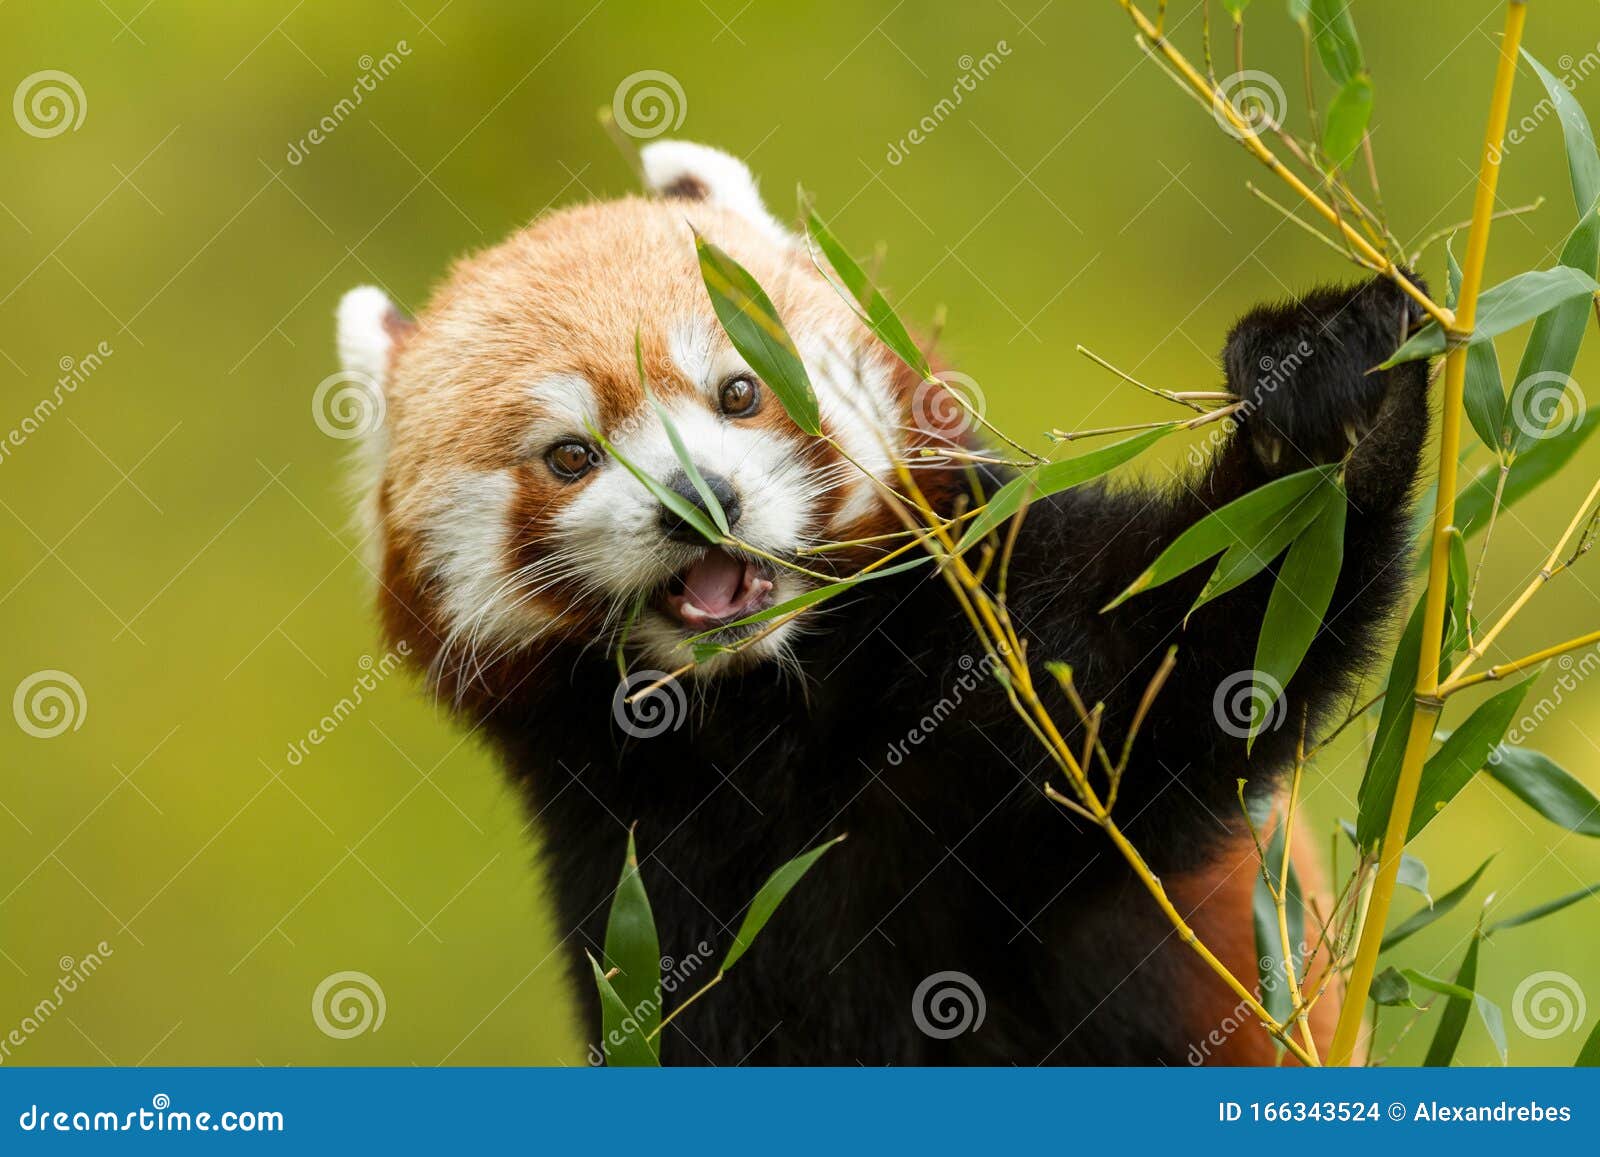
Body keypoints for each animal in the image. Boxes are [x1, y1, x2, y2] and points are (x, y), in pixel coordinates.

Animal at [335, 140, 1428, 1065]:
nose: (700, 498)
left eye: (739, 392)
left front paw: (1329, 403)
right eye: (571, 455)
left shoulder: (995, 670)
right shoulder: (639, 877)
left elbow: (1199, 647)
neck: (762, 717)